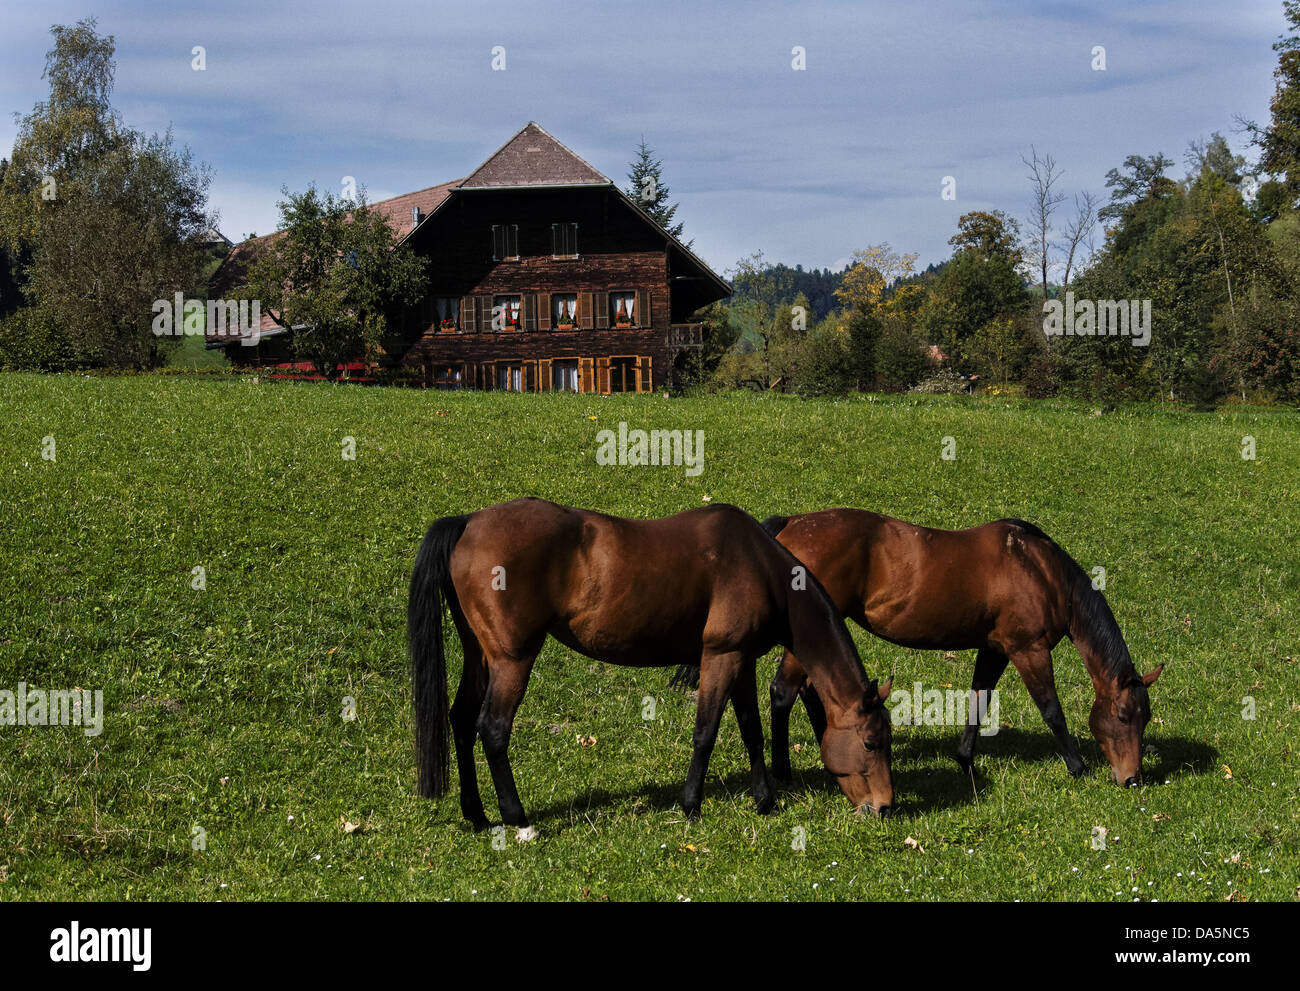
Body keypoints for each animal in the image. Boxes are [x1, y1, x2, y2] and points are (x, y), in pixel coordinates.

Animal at [407, 497, 895, 834]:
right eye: (872, 743)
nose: (885, 806)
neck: (761, 566)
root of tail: (469, 522)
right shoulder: (720, 657)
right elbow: (706, 733)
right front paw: (691, 805)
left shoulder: (741, 661)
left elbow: (751, 732)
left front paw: (765, 801)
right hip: (512, 660)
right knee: (492, 728)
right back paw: (517, 818)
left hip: (480, 656)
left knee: (461, 719)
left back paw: (476, 815)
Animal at [672, 509, 1162, 787]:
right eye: (1123, 716)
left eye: (1145, 718)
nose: (1132, 780)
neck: (1039, 568)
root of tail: (789, 526)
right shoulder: (1028, 650)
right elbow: (1051, 710)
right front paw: (1077, 767)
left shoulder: (995, 648)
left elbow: (978, 699)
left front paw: (965, 759)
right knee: (783, 693)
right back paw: (784, 771)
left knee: (809, 693)